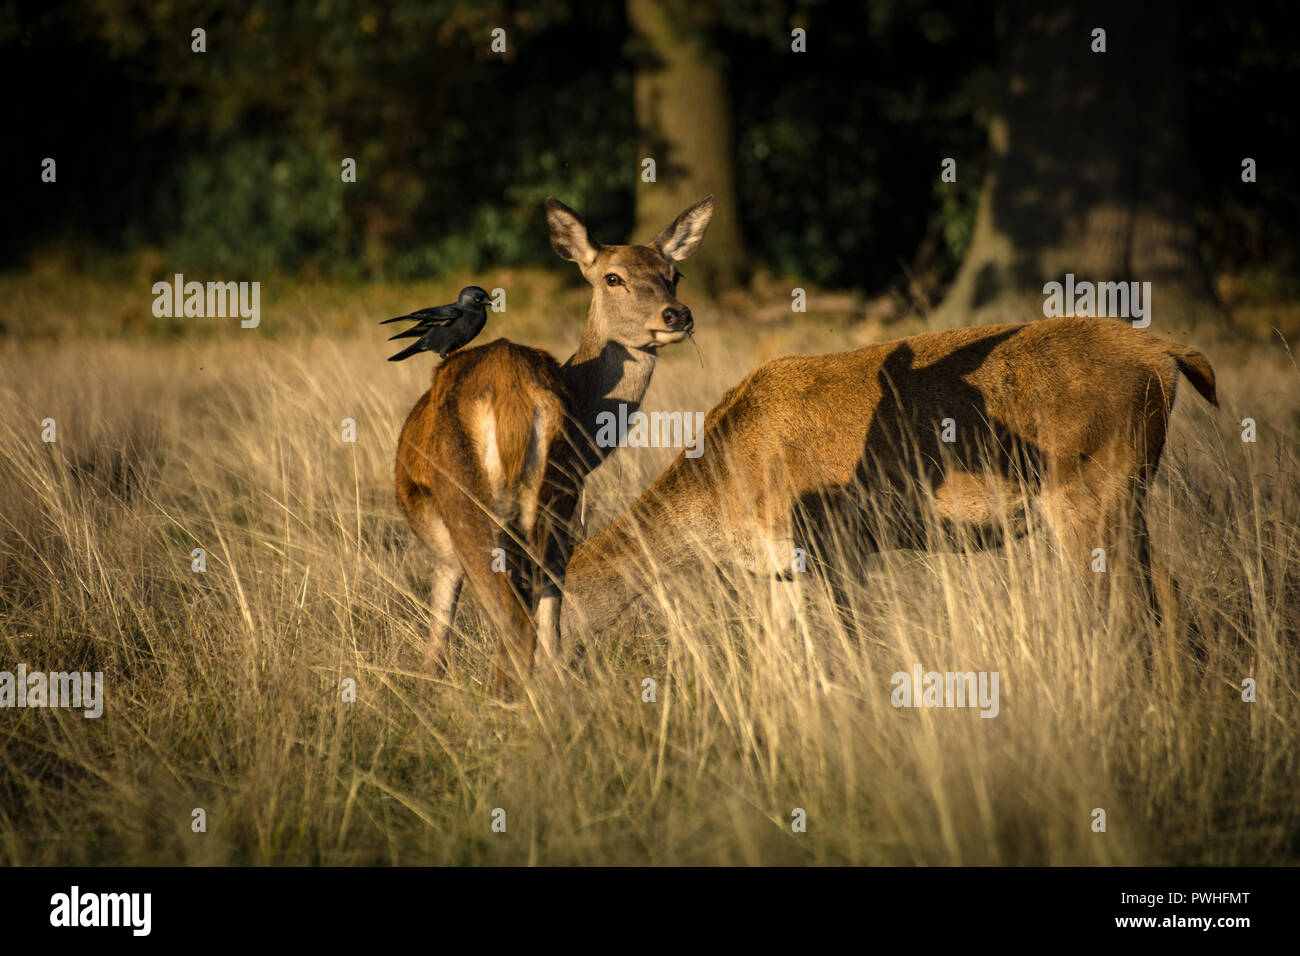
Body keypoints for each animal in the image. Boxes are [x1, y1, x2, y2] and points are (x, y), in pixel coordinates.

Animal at [393, 195, 714, 697]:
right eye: (613, 277)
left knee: (512, 619)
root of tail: (512, 395)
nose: (677, 314)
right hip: (554, 498)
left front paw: (427, 687)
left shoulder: (444, 546)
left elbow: (441, 619)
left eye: (673, 274)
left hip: (468, 497)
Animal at [559, 316, 1218, 648]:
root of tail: (1167, 355)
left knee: (1128, 608)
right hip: (1130, 493)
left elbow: (856, 642)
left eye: (548, 600)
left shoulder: (836, 539)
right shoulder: (782, 568)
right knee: (1168, 594)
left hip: (1089, 485)